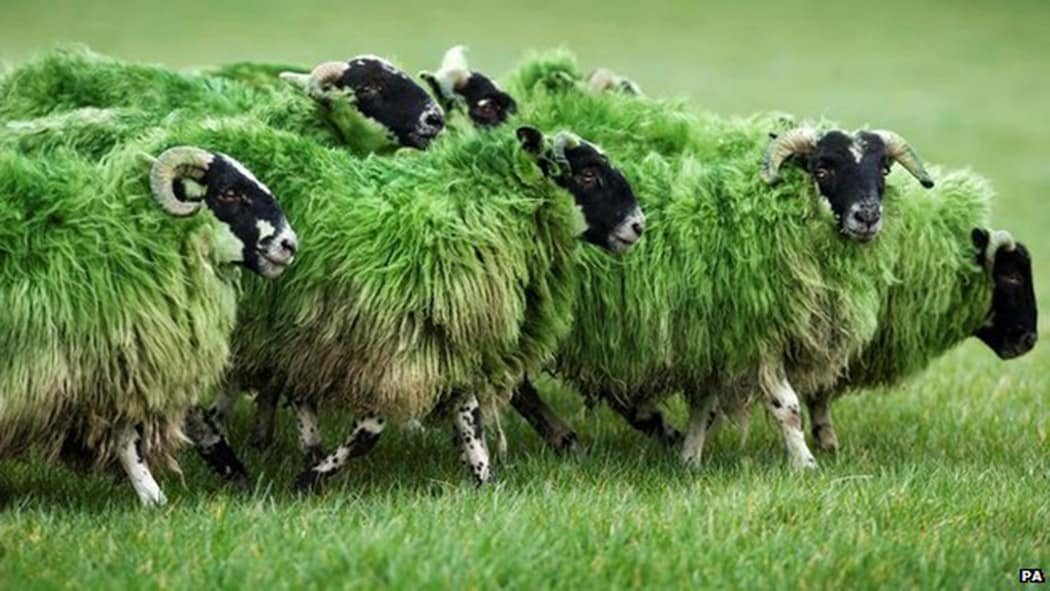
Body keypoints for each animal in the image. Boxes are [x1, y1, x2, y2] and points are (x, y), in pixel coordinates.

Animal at [0, 141, 296, 506]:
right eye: (228, 193)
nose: (289, 245)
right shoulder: (118, 366)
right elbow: (129, 438)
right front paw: (154, 498)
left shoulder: (117, 370)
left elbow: (126, 436)